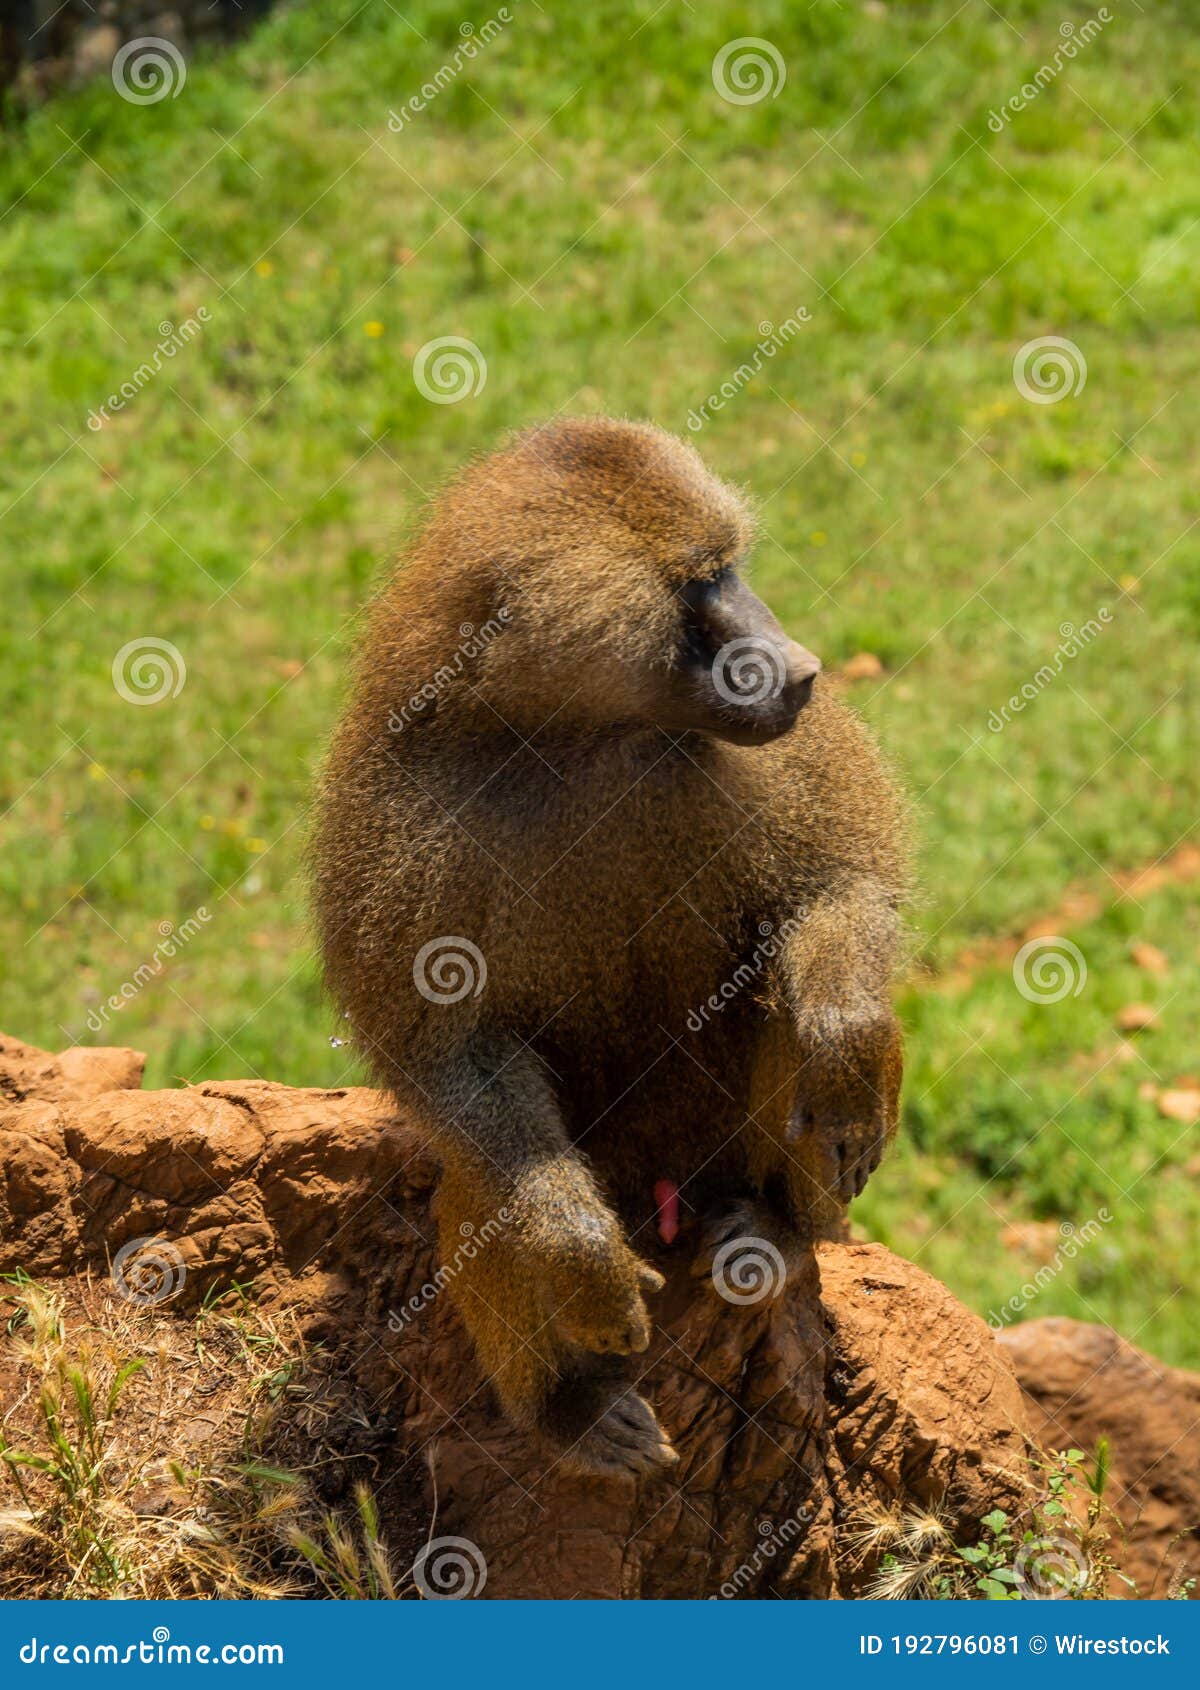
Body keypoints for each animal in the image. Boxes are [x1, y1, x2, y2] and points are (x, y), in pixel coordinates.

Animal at [311, 416, 906, 1479]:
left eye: (729, 567)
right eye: (697, 584)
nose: (799, 670)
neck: (581, 734)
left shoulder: (786, 750)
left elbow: (838, 891)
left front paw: (843, 1058)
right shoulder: (393, 821)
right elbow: (449, 1057)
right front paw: (584, 1268)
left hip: (728, 1156)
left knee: (787, 1004)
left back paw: (780, 1232)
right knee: (483, 1177)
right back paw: (575, 1411)